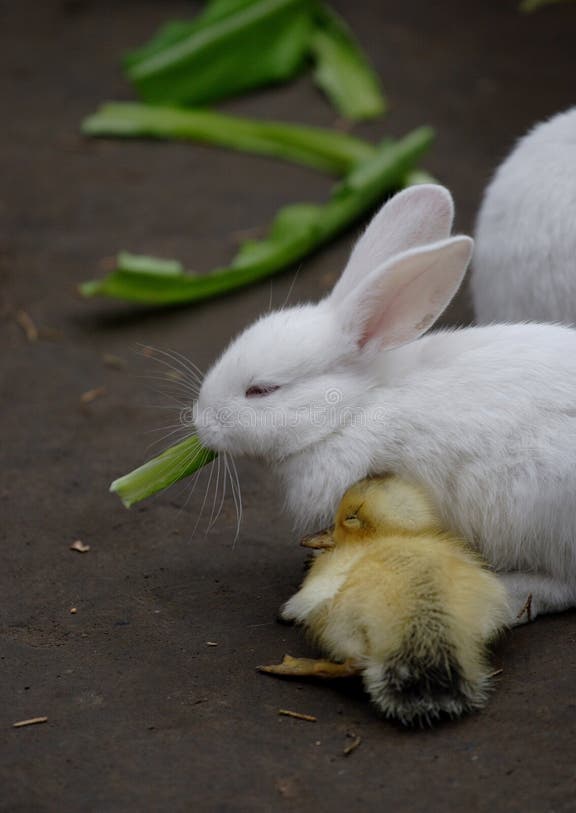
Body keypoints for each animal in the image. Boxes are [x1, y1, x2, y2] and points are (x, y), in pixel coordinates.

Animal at [259, 475, 510, 726]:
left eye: (350, 517)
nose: (310, 538)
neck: (389, 536)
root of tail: (424, 636)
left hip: (343, 627)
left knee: (355, 663)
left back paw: (293, 666)